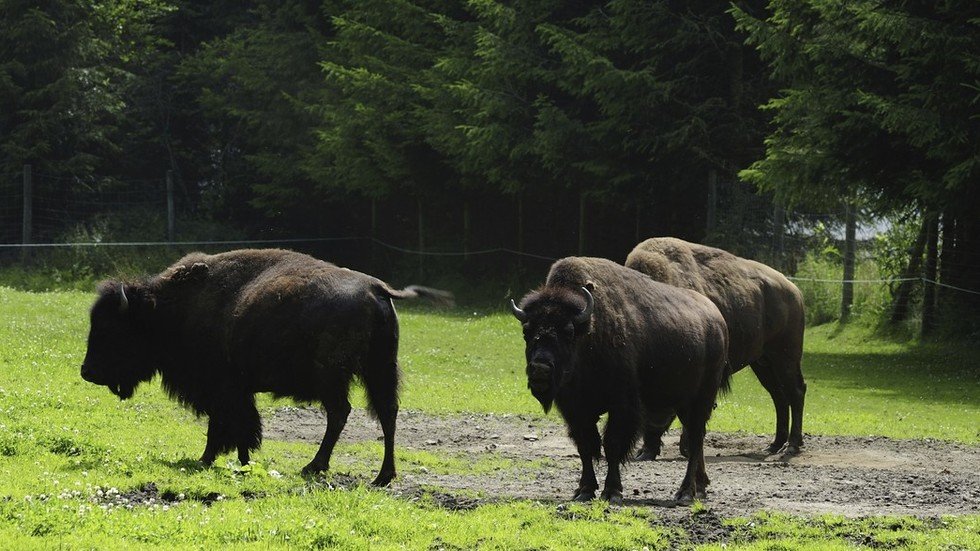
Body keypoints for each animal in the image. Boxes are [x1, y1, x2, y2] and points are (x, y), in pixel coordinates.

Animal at [81, 248, 451, 485]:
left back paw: (314, 467)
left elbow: (227, 425)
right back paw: (382, 477)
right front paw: (240, 461)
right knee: (386, 414)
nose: (87, 372)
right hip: (379, 370)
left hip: (334, 376)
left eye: (111, 329)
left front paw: (209, 459)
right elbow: (242, 426)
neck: (167, 310)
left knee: (340, 413)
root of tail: (376, 286)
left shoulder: (222, 388)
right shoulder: (238, 391)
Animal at [511, 257, 730, 503]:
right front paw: (584, 490)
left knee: (695, 440)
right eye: (527, 332)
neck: (590, 334)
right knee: (696, 440)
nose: (540, 368)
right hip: (683, 404)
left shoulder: (622, 406)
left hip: (700, 400)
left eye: (568, 331)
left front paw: (612, 492)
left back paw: (685, 493)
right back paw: (700, 488)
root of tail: (718, 320)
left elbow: (612, 444)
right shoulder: (576, 410)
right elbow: (585, 446)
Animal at [626, 237, 806, 457]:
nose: (647, 451)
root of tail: (794, 291)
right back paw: (774, 445)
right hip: (762, 363)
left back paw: (792, 445)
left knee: (795, 392)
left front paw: (687, 447)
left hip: (784, 357)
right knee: (779, 396)